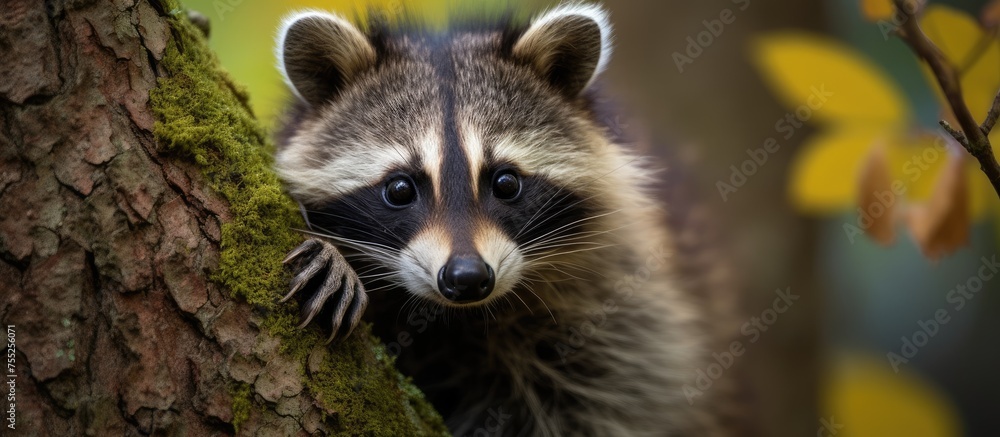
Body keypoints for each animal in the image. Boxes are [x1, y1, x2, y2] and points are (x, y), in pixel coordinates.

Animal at [274, 3, 738, 436]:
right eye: (400, 189)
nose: (466, 278)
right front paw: (334, 258)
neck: (453, 317)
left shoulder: (621, 307)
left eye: (506, 182)